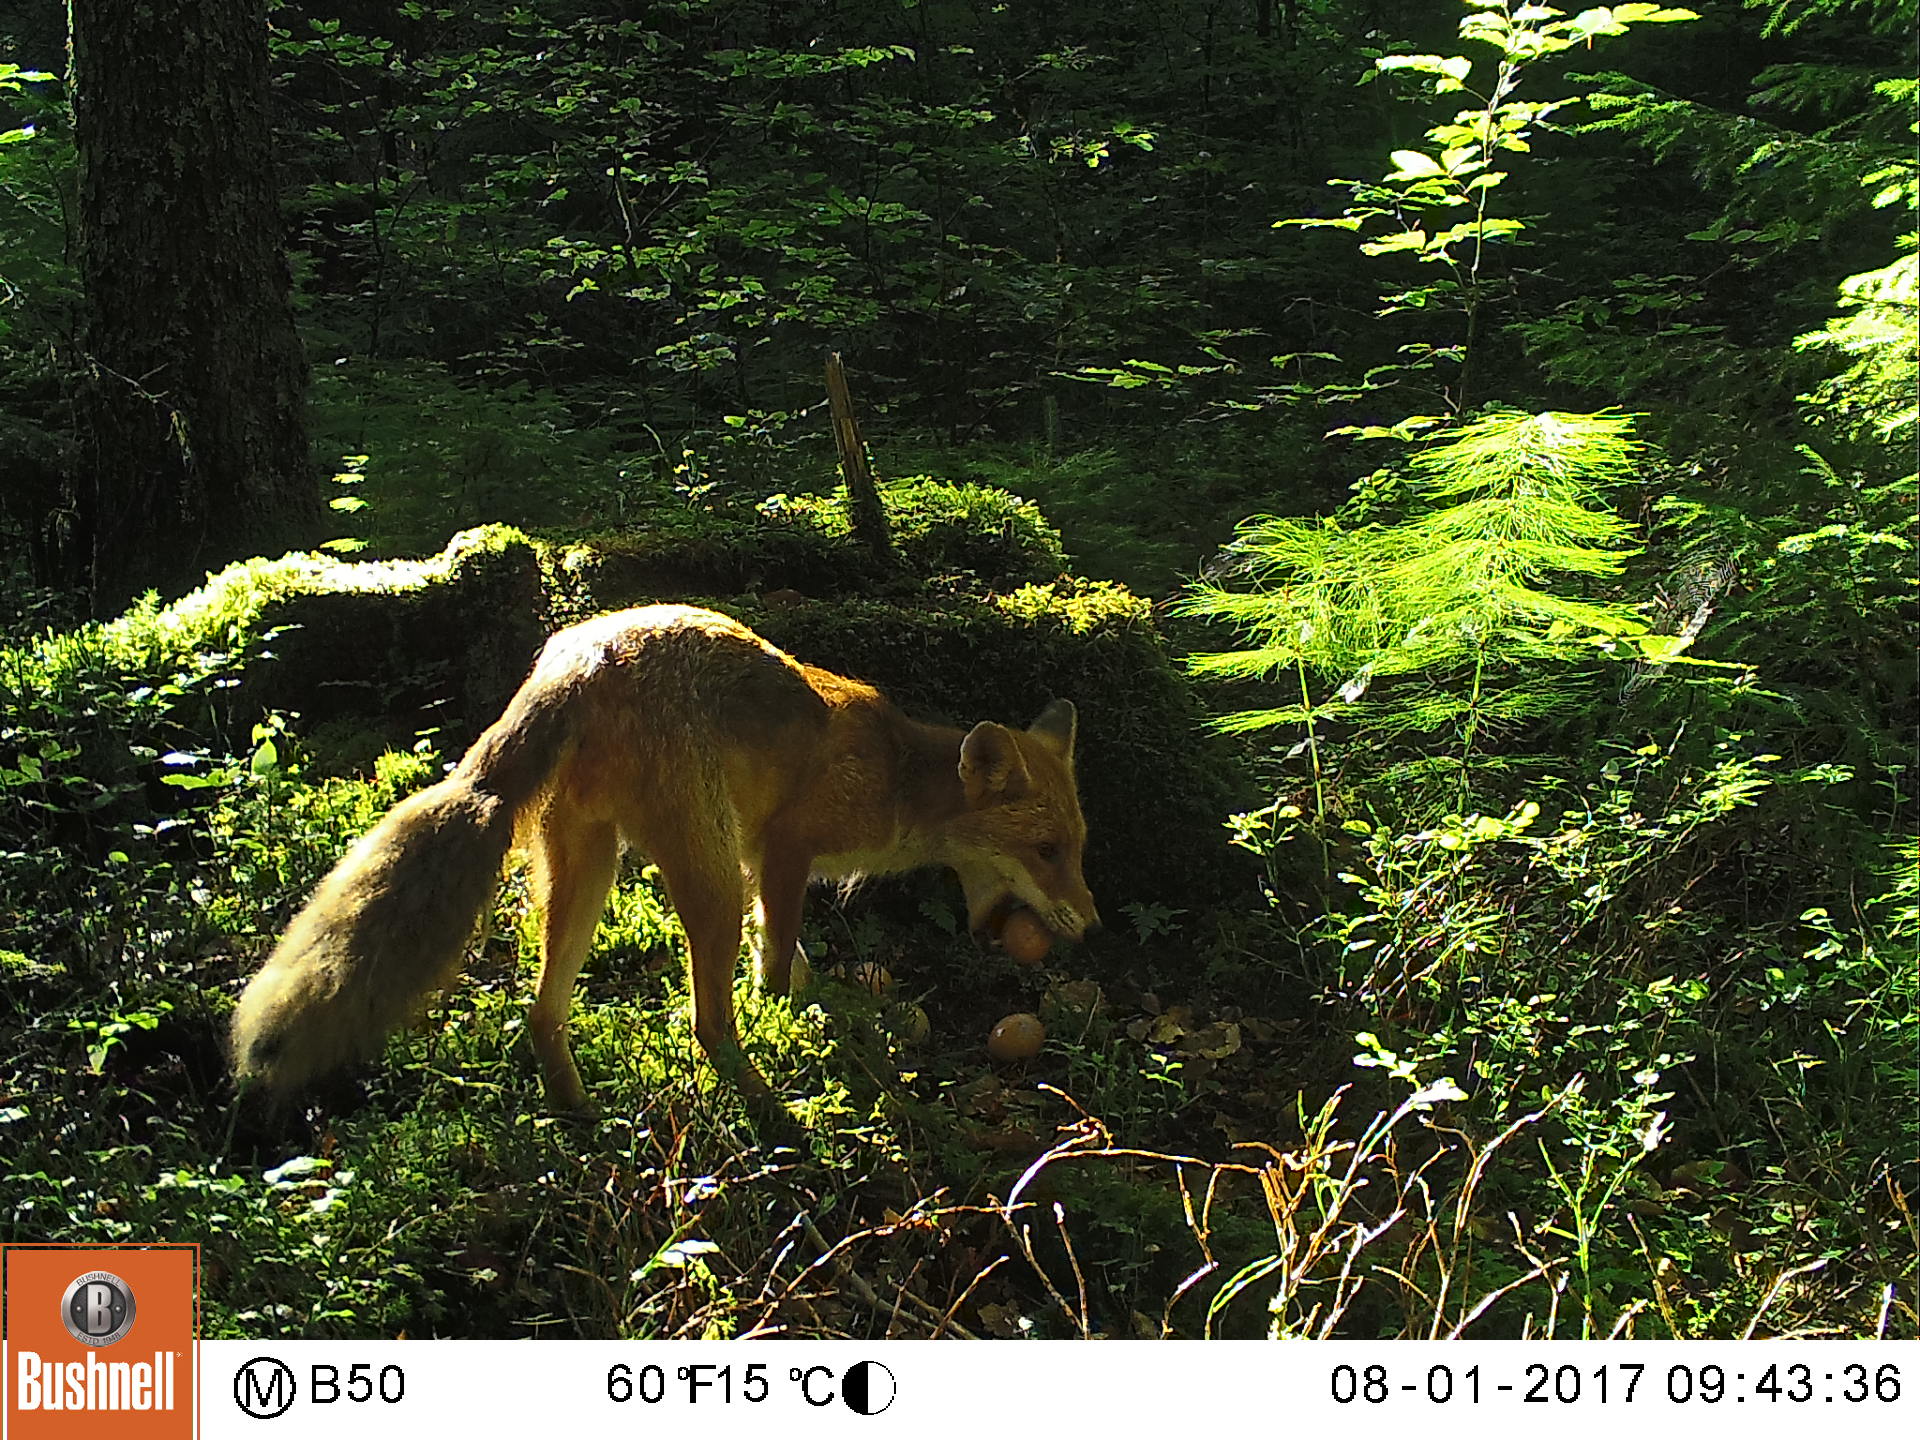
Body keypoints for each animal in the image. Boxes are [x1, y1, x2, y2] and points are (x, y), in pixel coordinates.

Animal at [230, 603, 1098, 1110]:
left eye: (1079, 849)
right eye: (1044, 850)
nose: (1089, 927)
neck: (894, 775)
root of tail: (576, 657)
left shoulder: (755, 864)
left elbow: (788, 959)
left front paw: (823, 1004)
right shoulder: (781, 852)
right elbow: (775, 970)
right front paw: (802, 1026)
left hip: (593, 866)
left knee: (541, 1013)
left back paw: (581, 1121)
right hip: (704, 882)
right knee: (707, 1025)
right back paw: (774, 1109)